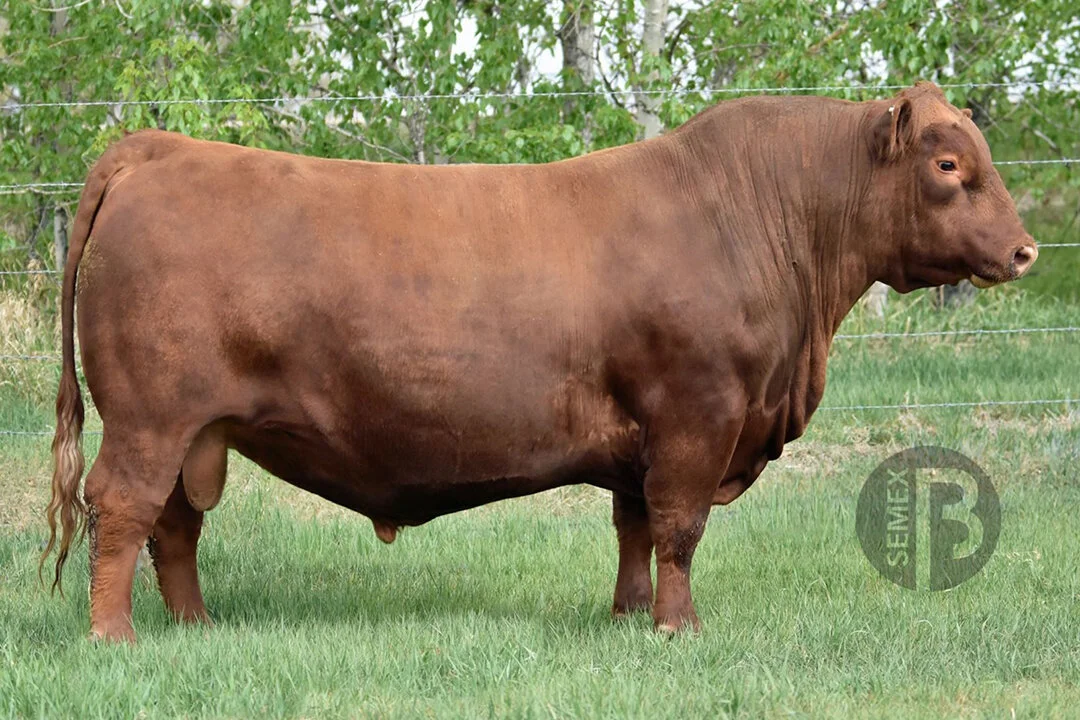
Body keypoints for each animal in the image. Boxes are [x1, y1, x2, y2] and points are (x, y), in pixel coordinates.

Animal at [41, 82, 1036, 642]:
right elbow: (679, 528)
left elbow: (635, 527)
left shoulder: (647, 435)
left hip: (192, 427)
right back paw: (114, 638)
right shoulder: (698, 413)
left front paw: (629, 619)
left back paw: (197, 628)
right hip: (150, 416)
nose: (1027, 250)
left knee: (174, 525)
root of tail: (158, 148)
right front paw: (680, 630)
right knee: (122, 510)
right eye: (950, 166)